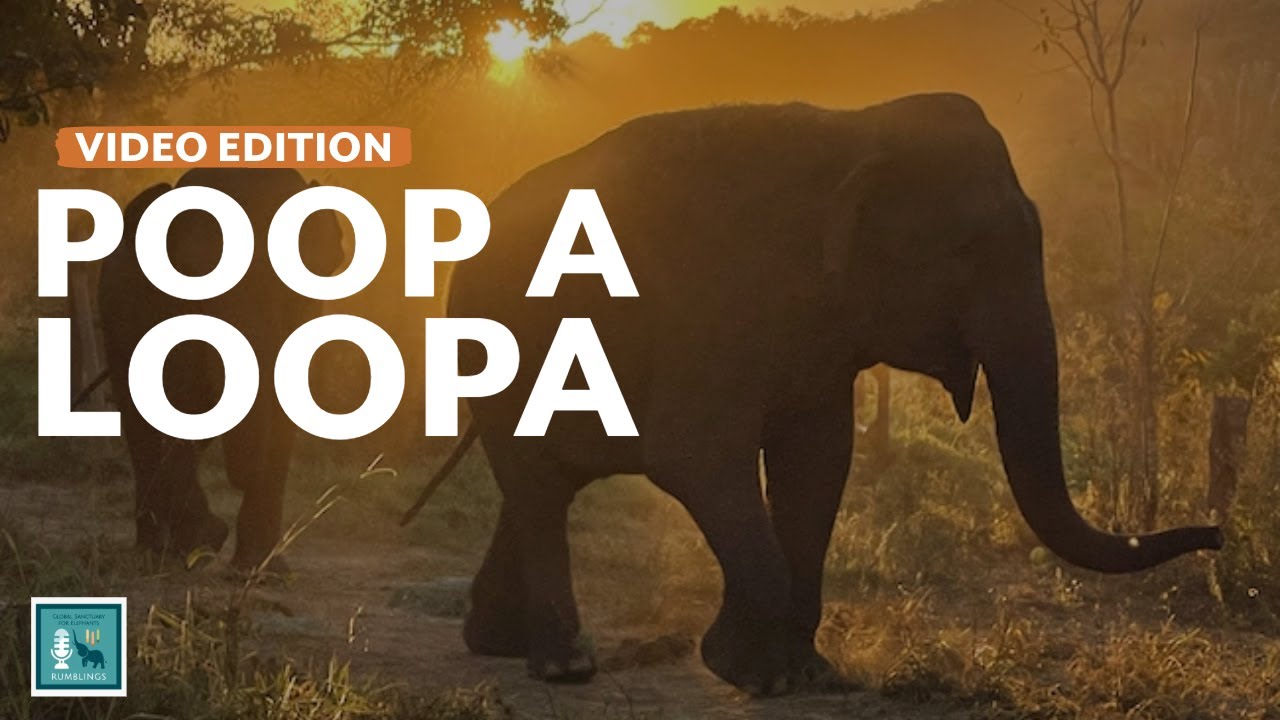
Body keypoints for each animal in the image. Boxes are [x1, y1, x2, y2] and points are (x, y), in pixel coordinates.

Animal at [98, 168, 344, 569]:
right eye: (193, 274)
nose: (241, 478)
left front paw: (261, 570)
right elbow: (179, 403)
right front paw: (203, 541)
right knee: (139, 421)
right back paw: (156, 550)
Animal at [409, 93, 1224, 694]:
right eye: (968, 253)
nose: (1216, 534)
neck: (855, 129)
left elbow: (819, 461)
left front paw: (806, 675)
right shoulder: (710, 312)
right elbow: (696, 458)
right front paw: (744, 670)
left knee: (542, 485)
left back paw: (497, 642)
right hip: (490, 343)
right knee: (537, 486)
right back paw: (565, 667)